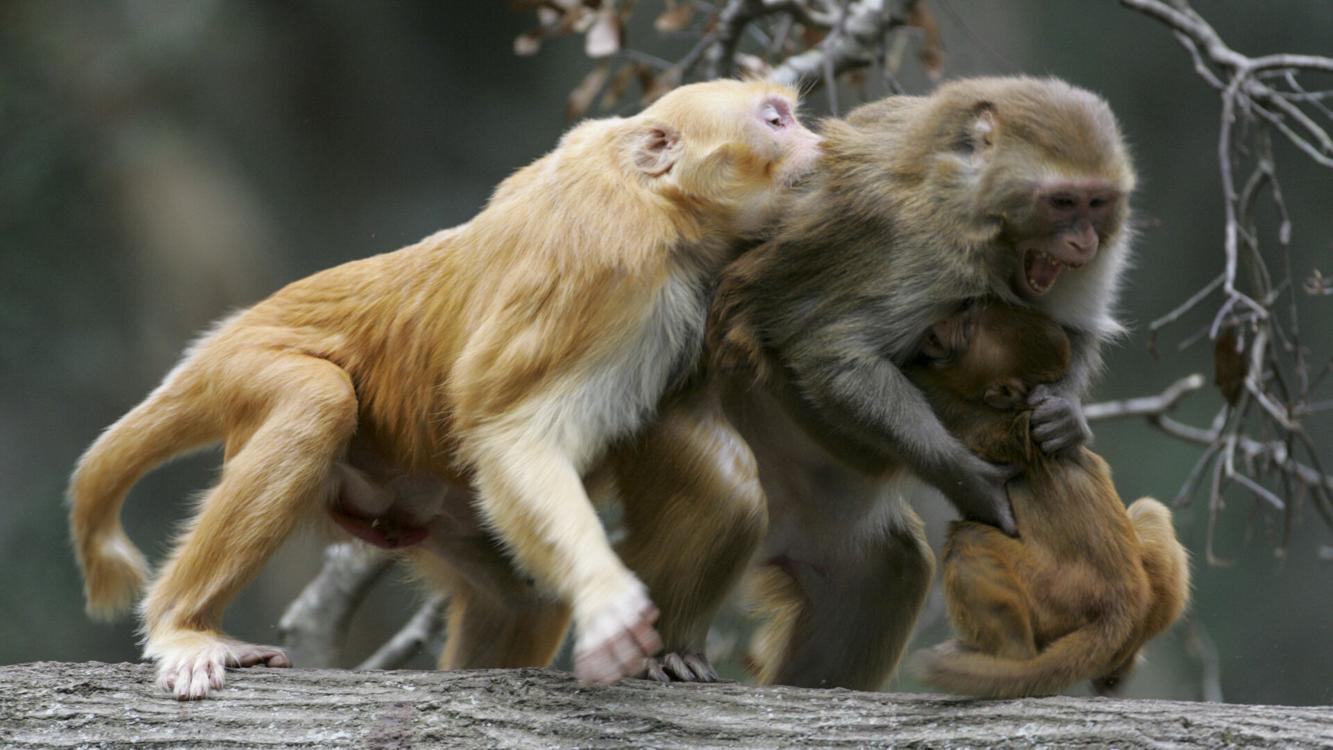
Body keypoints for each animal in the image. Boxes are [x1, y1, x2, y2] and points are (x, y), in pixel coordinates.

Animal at [67, 79, 821, 699]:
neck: (665, 207)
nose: (820, 145)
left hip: (427, 507)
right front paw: (607, 598)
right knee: (317, 399)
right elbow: (514, 432)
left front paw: (668, 648)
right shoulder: (610, 275)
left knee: (527, 595)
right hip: (249, 362)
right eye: (776, 120)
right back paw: (182, 624)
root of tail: (234, 328)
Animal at [604, 77, 1140, 691]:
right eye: (1063, 202)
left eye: (1097, 202)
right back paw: (665, 651)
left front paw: (1064, 417)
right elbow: (833, 355)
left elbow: (1072, 334)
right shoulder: (921, 245)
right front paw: (976, 483)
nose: (1085, 244)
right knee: (725, 495)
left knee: (891, 571)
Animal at [903, 300, 1191, 698]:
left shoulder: (970, 416)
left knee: (969, 538)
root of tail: (1120, 609)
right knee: (1150, 510)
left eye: (967, 329)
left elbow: (932, 393)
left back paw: (1009, 657)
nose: (939, 326)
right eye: (971, 311)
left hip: (1055, 596)